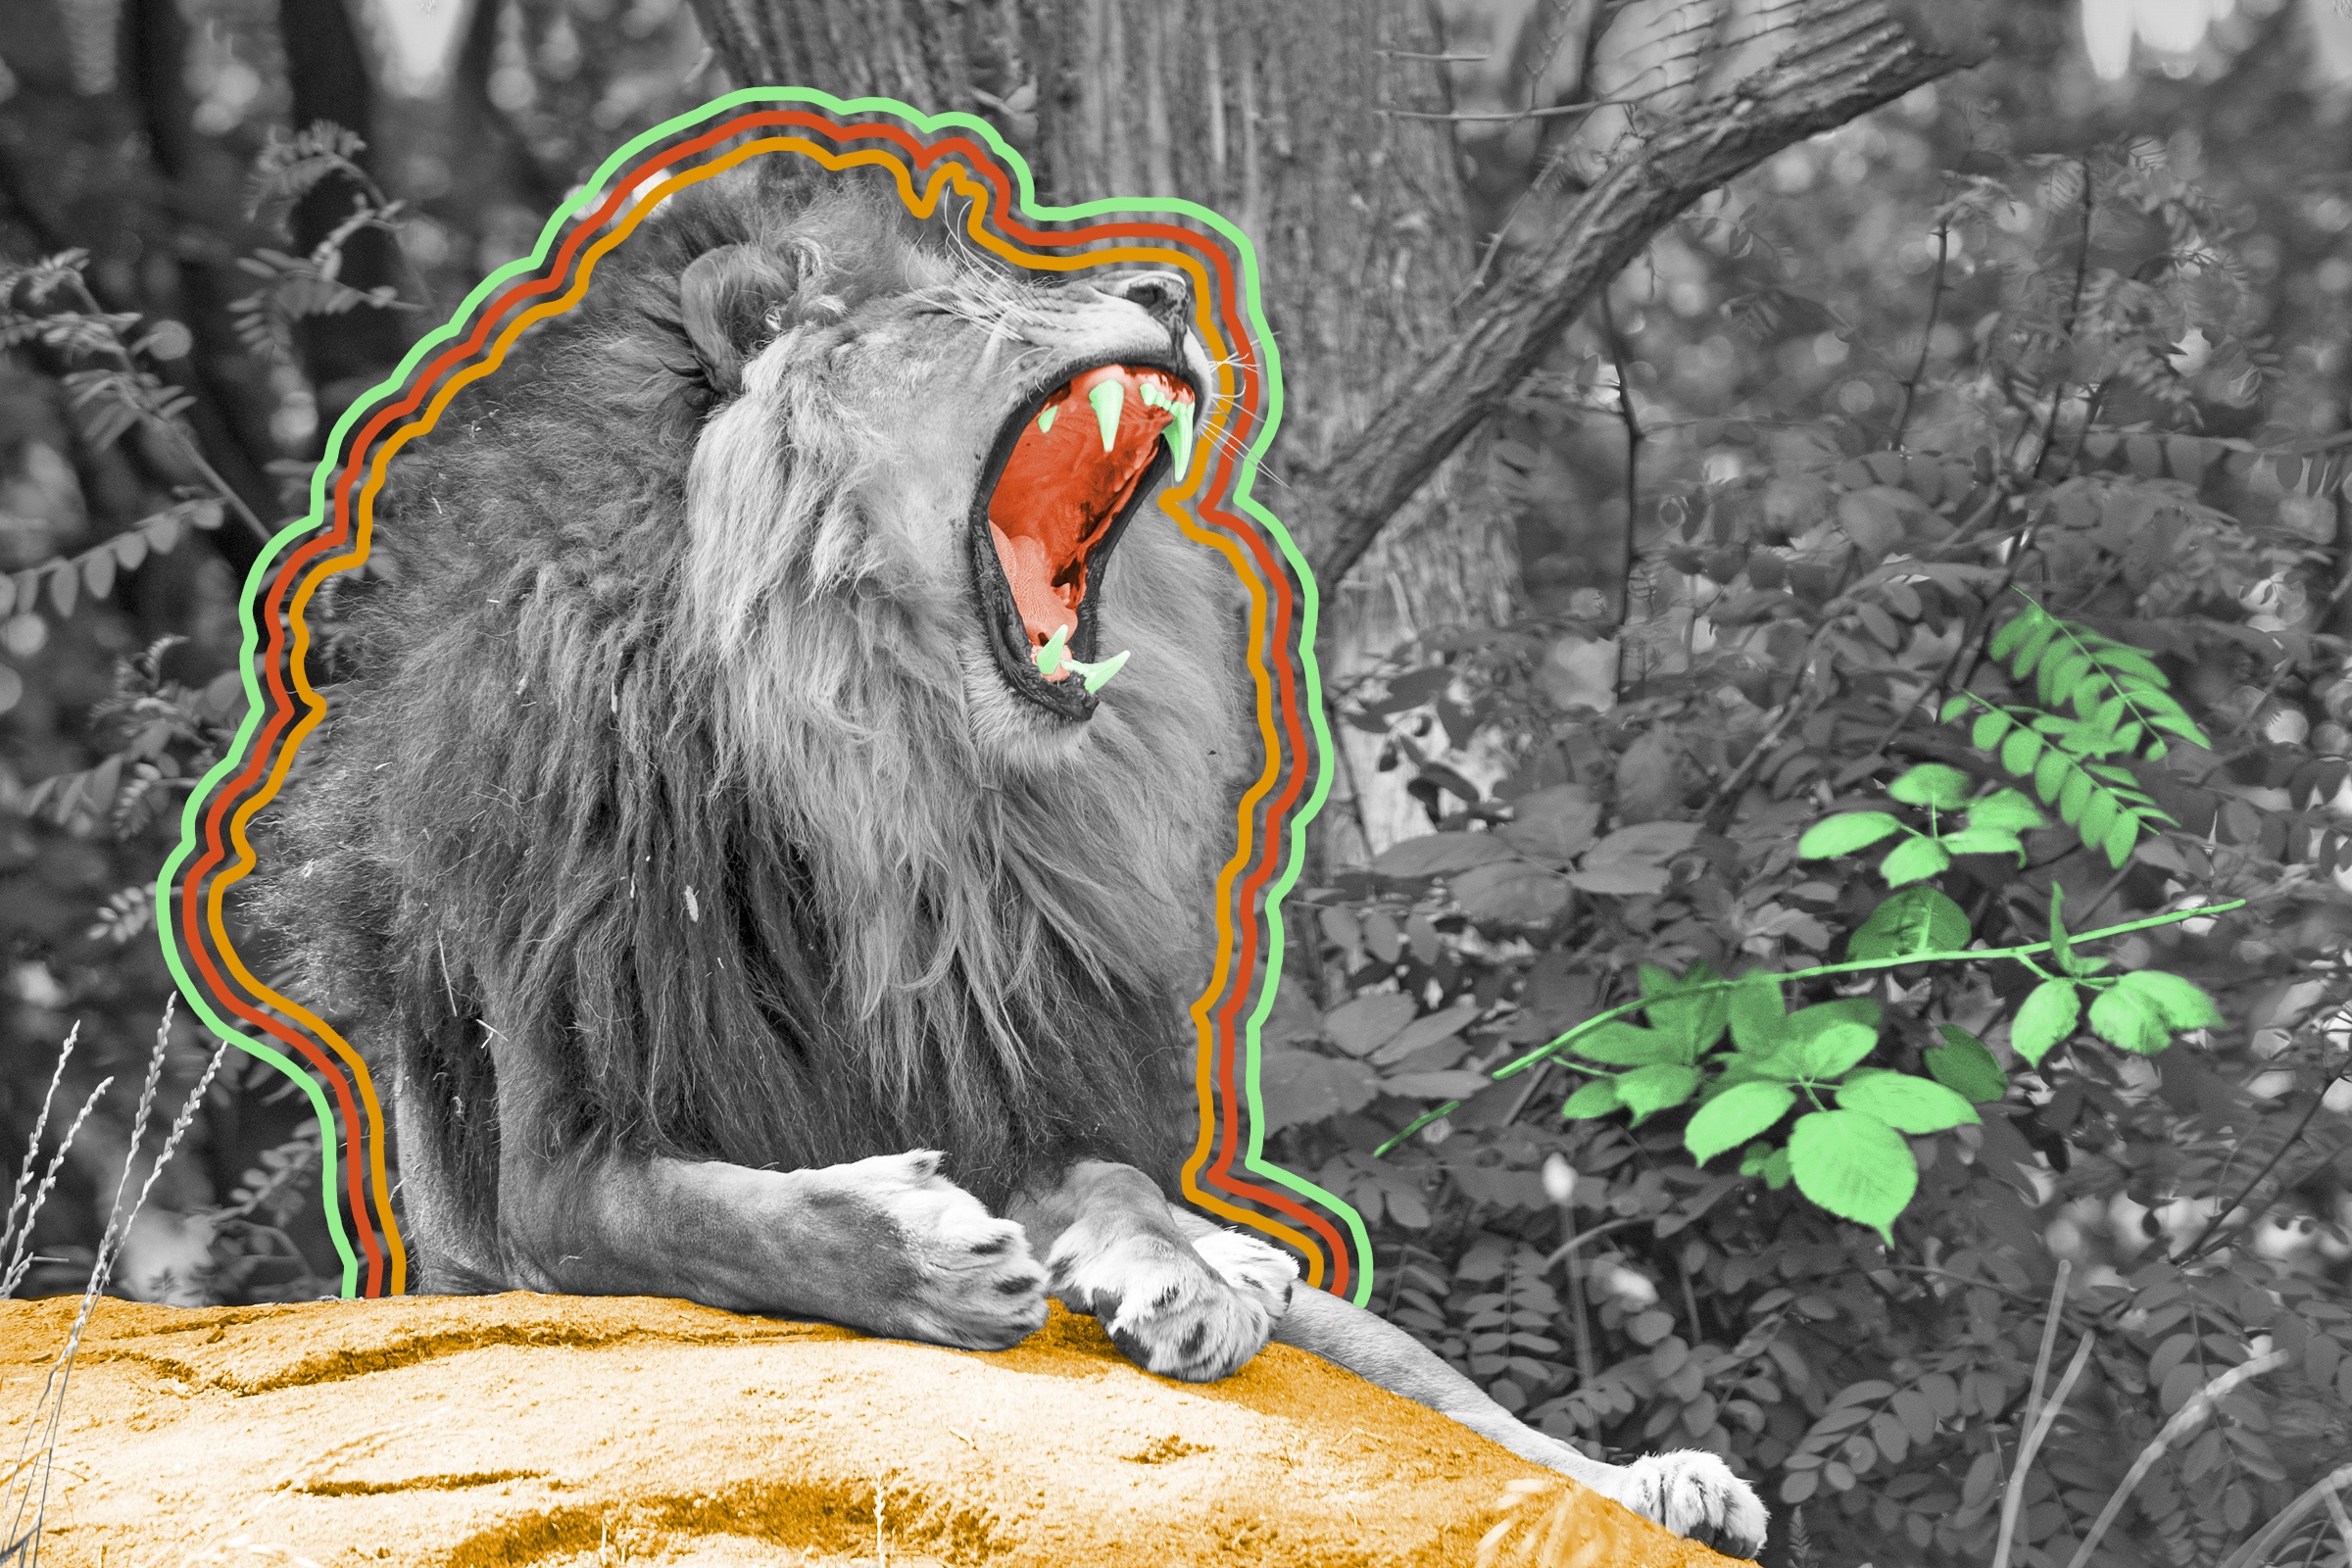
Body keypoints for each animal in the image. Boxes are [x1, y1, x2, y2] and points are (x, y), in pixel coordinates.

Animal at [260, 155, 1766, 1558]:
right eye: (955, 311)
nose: (1168, 291)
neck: (866, 769)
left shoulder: (1011, 1079)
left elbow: (1115, 1183)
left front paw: (1178, 1274)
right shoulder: (546, 1169)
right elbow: (718, 1215)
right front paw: (921, 1253)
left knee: (1458, 1400)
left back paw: (1660, 1480)